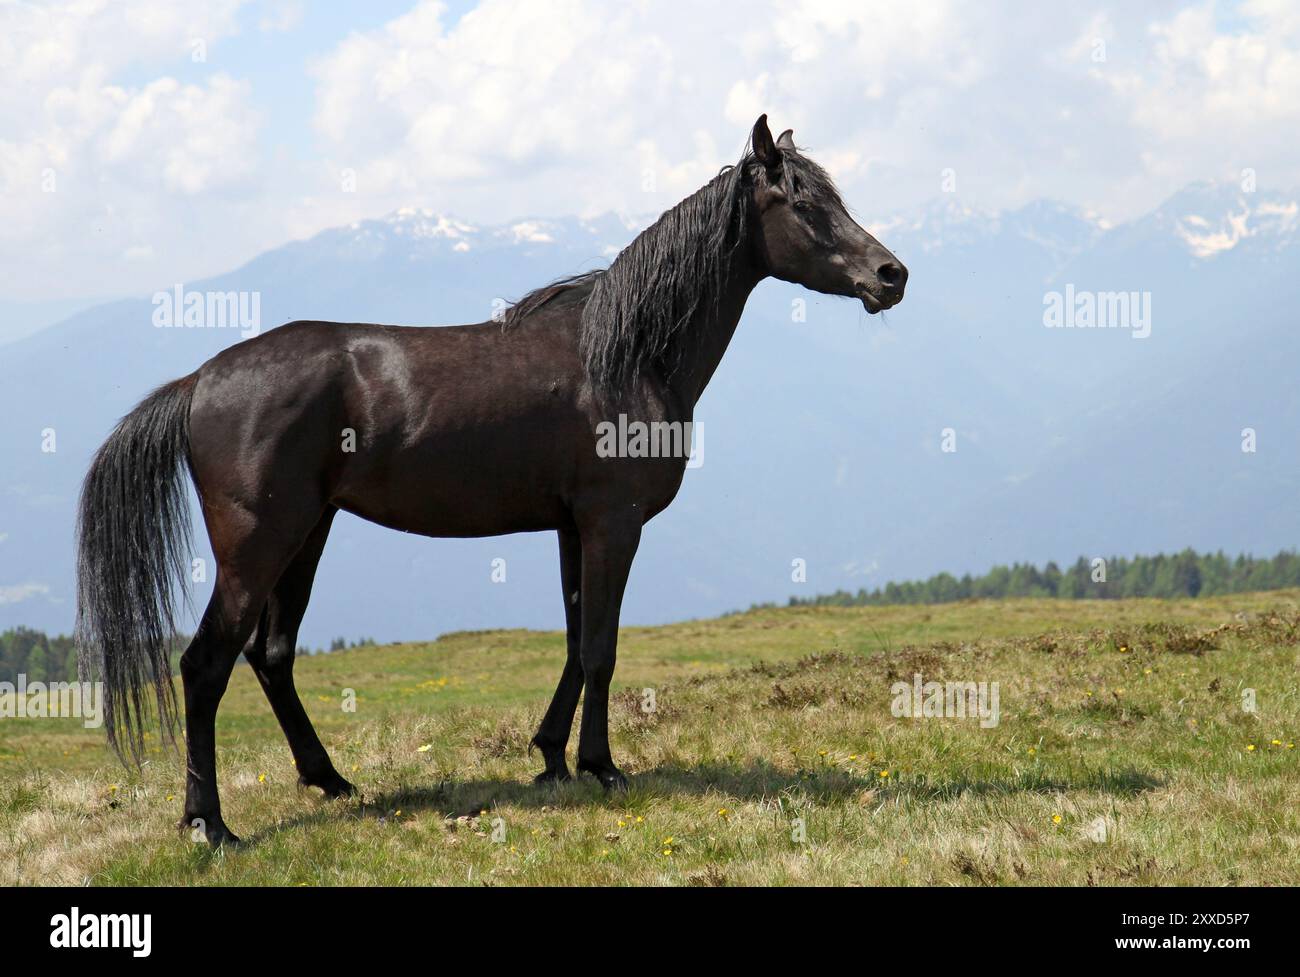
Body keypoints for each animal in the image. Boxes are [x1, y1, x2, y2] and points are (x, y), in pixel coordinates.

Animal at [75, 115, 907, 846]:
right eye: (803, 202)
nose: (891, 274)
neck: (626, 353)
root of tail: (199, 381)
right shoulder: (613, 523)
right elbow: (601, 647)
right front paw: (602, 767)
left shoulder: (574, 526)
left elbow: (575, 642)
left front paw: (551, 757)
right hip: (259, 547)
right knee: (205, 665)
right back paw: (210, 824)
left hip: (306, 534)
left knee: (271, 655)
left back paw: (331, 780)